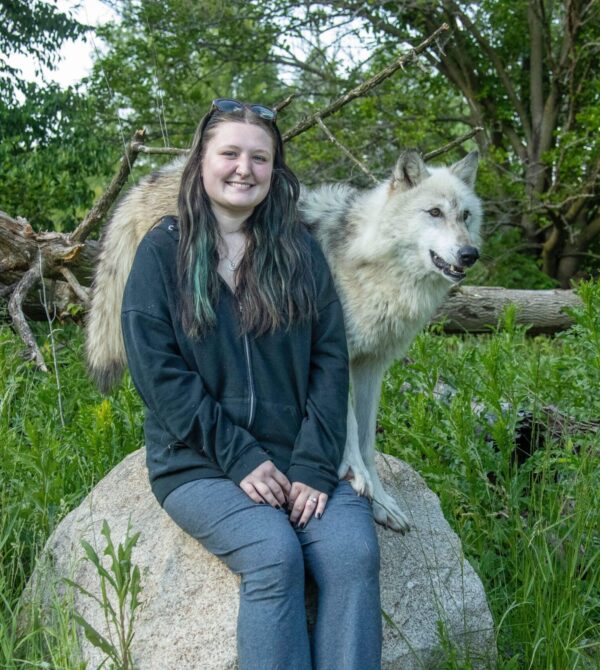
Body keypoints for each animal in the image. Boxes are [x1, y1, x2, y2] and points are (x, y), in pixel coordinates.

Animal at [86, 149, 482, 532]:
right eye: (434, 212)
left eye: (465, 216)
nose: (470, 254)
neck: (376, 264)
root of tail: (154, 176)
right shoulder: (338, 352)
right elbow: (348, 427)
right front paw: (354, 476)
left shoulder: (371, 366)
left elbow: (368, 440)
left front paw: (382, 504)